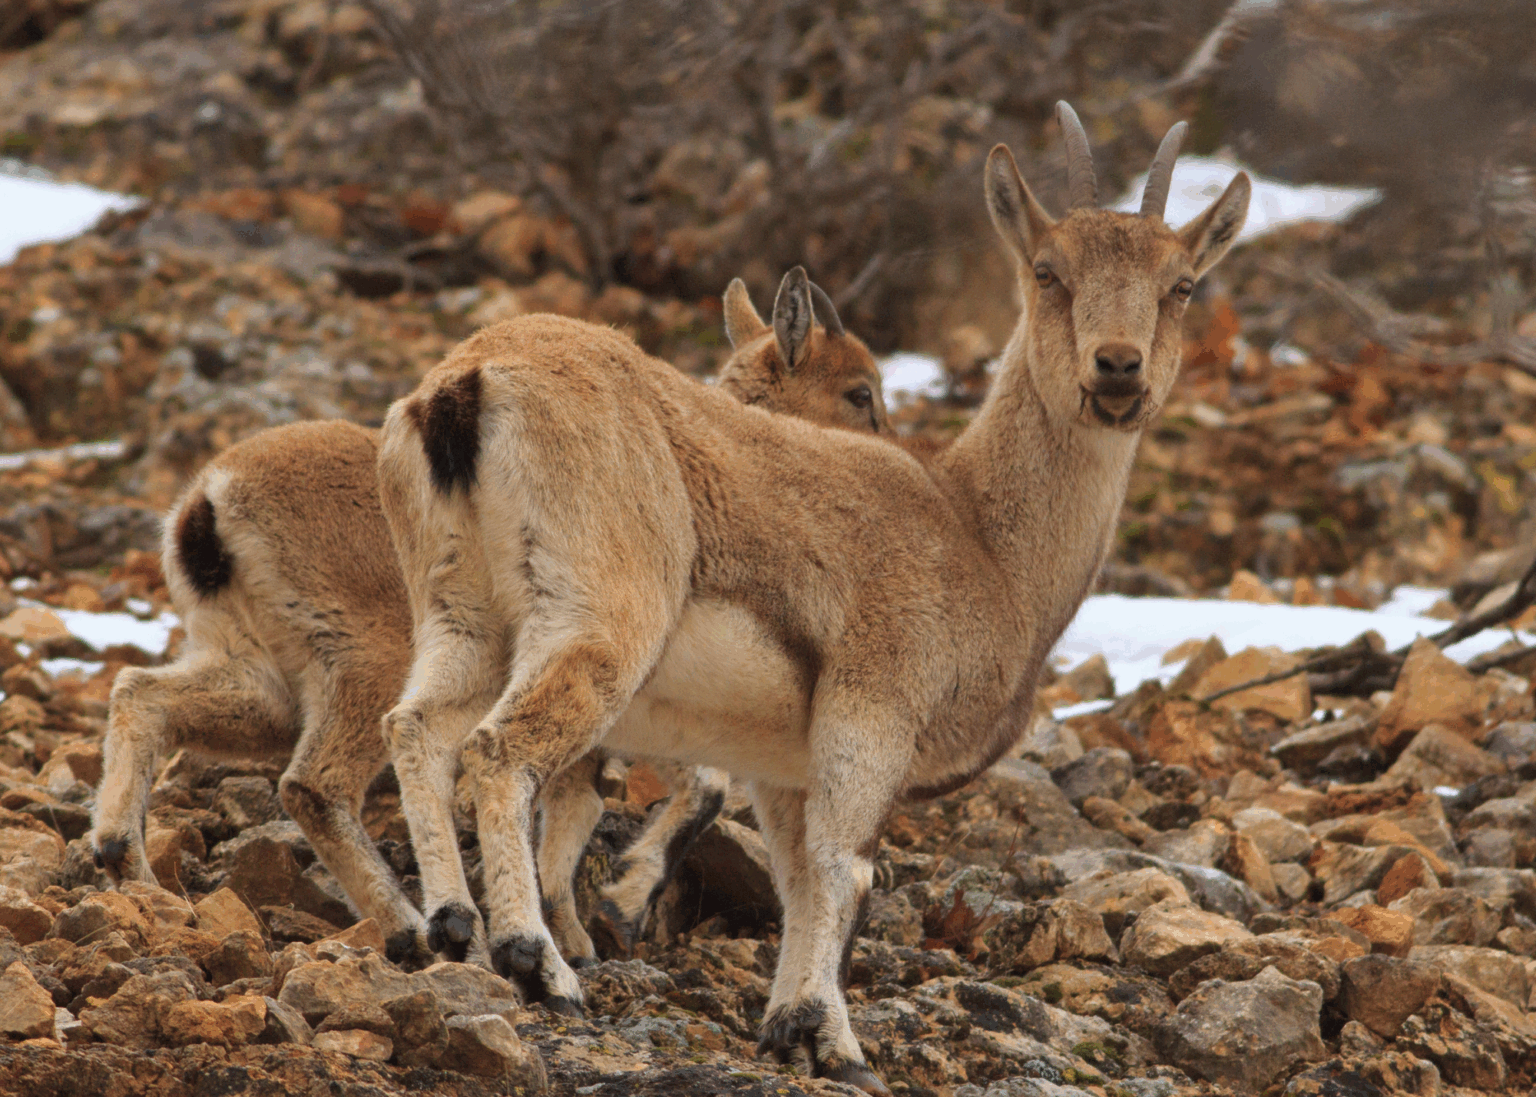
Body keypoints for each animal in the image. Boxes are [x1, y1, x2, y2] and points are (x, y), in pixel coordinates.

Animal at [89, 270, 888, 968]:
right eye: (859, 390)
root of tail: (208, 505)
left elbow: (578, 809)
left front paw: (575, 932)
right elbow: (691, 791)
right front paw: (607, 916)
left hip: (258, 673)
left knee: (143, 693)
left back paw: (126, 860)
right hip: (367, 659)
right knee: (318, 782)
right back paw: (423, 929)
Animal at [376, 103, 1249, 1094]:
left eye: (1182, 283)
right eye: (1047, 269)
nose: (1116, 369)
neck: (980, 538)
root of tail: (468, 388)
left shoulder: (785, 763)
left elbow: (797, 876)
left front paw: (785, 1024)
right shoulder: (872, 712)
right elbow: (844, 872)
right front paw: (828, 1036)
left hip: (463, 618)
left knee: (417, 728)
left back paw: (451, 928)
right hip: (598, 623)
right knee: (499, 749)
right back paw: (538, 962)